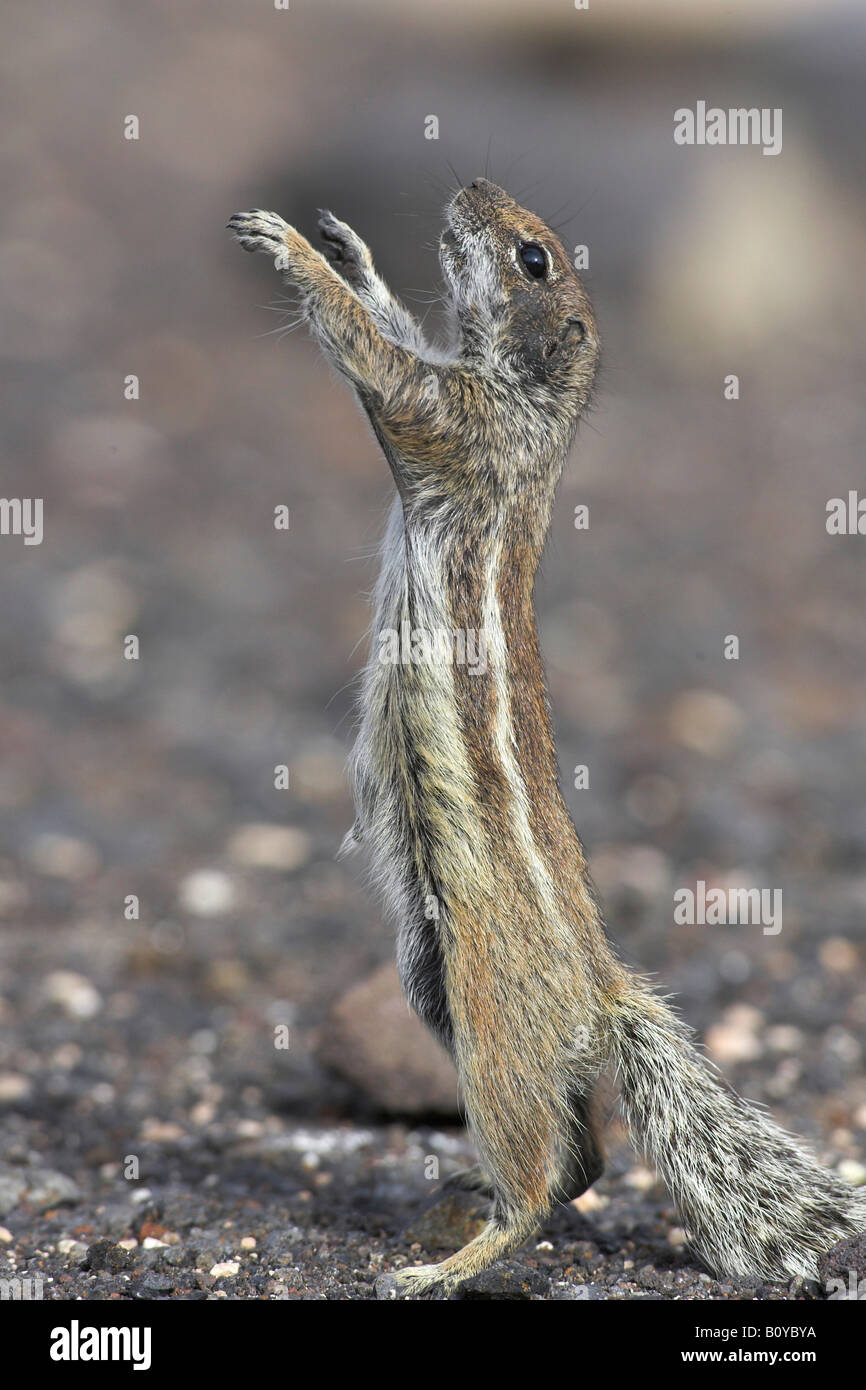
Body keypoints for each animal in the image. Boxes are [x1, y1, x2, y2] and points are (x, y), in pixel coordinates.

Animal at [228, 179, 866, 1297]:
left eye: (534, 259)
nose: (467, 190)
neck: (534, 412)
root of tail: (605, 991)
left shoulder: (444, 414)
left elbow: (370, 350)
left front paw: (296, 250)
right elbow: (389, 323)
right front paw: (353, 250)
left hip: (490, 1021)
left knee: (542, 1174)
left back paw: (446, 1262)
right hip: (426, 979)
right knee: (583, 1157)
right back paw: (464, 1199)